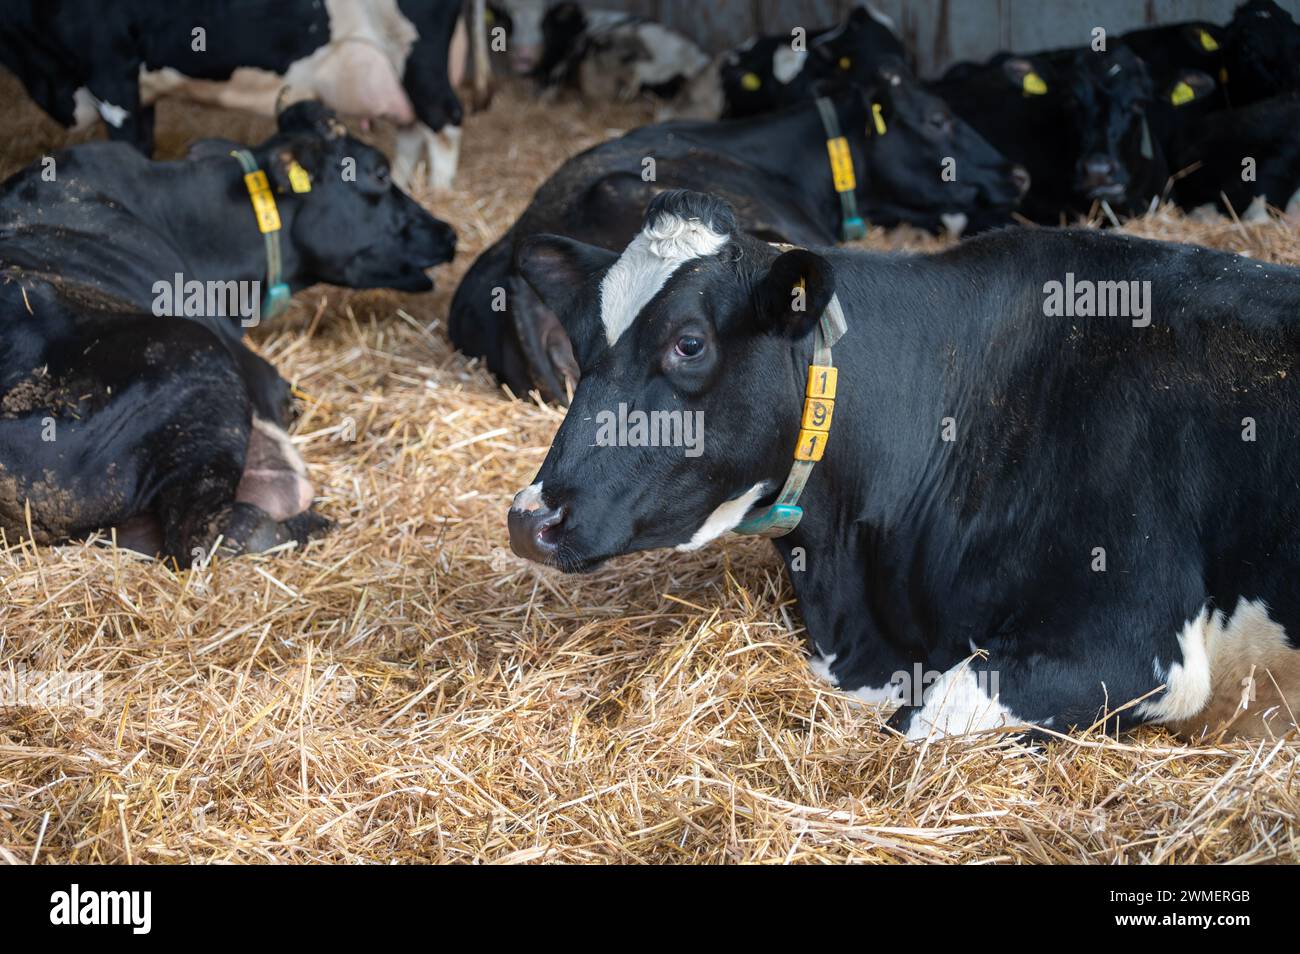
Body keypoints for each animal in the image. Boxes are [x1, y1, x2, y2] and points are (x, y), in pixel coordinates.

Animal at [0, 0, 466, 191]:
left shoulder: (112, 70)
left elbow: (129, 148)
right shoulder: (138, 89)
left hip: (416, 55)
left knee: (444, 121)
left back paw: (440, 193)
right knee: (411, 128)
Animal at [0, 102, 456, 563]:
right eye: (379, 172)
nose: (448, 231)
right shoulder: (264, 377)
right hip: (195, 359)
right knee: (211, 534)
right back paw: (311, 523)